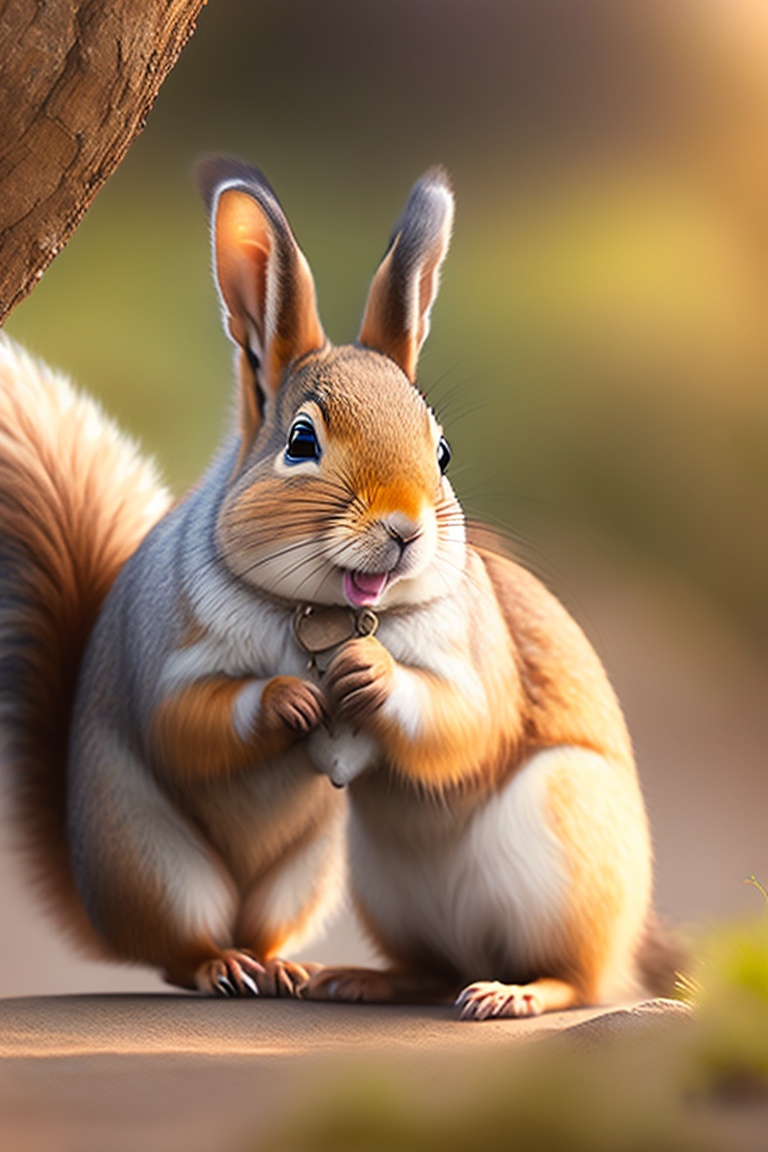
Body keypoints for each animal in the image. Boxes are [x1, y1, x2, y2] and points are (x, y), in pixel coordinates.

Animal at [0, 157, 679, 1011]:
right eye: (300, 441)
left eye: (442, 452)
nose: (406, 529)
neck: (323, 610)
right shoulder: (169, 648)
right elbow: (183, 721)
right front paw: (287, 698)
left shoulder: (477, 653)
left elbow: (469, 723)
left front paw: (372, 673)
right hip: (165, 862)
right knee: (194, 955)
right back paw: (292, 971)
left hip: (548, 843)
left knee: (576, 978)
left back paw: (502, 991)